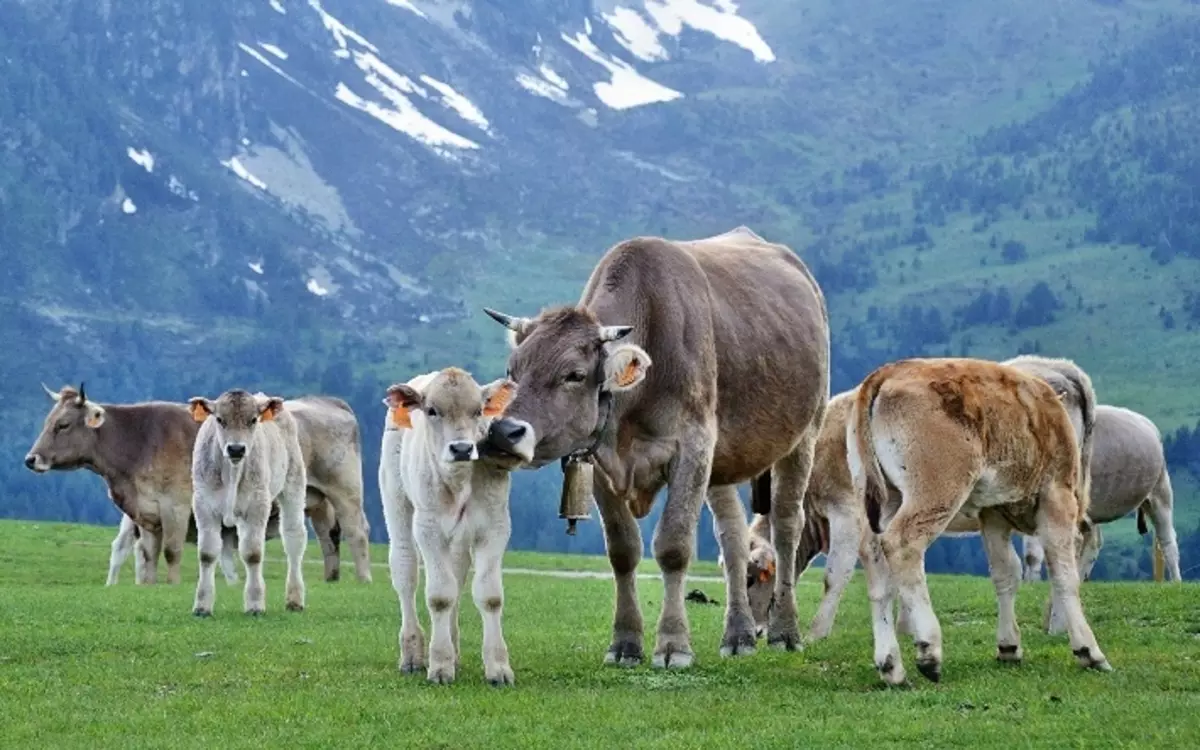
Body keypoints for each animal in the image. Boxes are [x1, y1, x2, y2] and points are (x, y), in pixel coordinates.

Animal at [189, 388, 307, 612]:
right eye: (219, 419)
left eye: (253, 420)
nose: (236, 449)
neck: (232, 472)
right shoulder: (203, 504)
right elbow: (207, 553)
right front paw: (202, 606)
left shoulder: (257, 505)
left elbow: (253, 554)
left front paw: (255, 604)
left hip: (294, 484)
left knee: (293, 538)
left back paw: (295, 600)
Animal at [475, 225, 825, 662]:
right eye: (513, 370)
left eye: (574, 374)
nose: (503, 432)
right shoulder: (599, 461)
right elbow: (623, 550)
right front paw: (625, 642)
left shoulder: (693, 447)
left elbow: (673, 545)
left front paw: (673, 644)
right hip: (724, 461)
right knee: (732, 537)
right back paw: (739, 635)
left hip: (804, 435)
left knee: (786, 527)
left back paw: (784, 631)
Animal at [849, 357, 1108, 686]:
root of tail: (890, 371)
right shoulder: (1056, 498)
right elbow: (1065, 575)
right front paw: (1089, 651)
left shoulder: (992, 512)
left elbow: (1005, 573)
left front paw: (1009, 646)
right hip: (936, 491)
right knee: (902, 545)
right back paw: (929, 652)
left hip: (881, 499)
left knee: (875, 561)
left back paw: (891, 667)